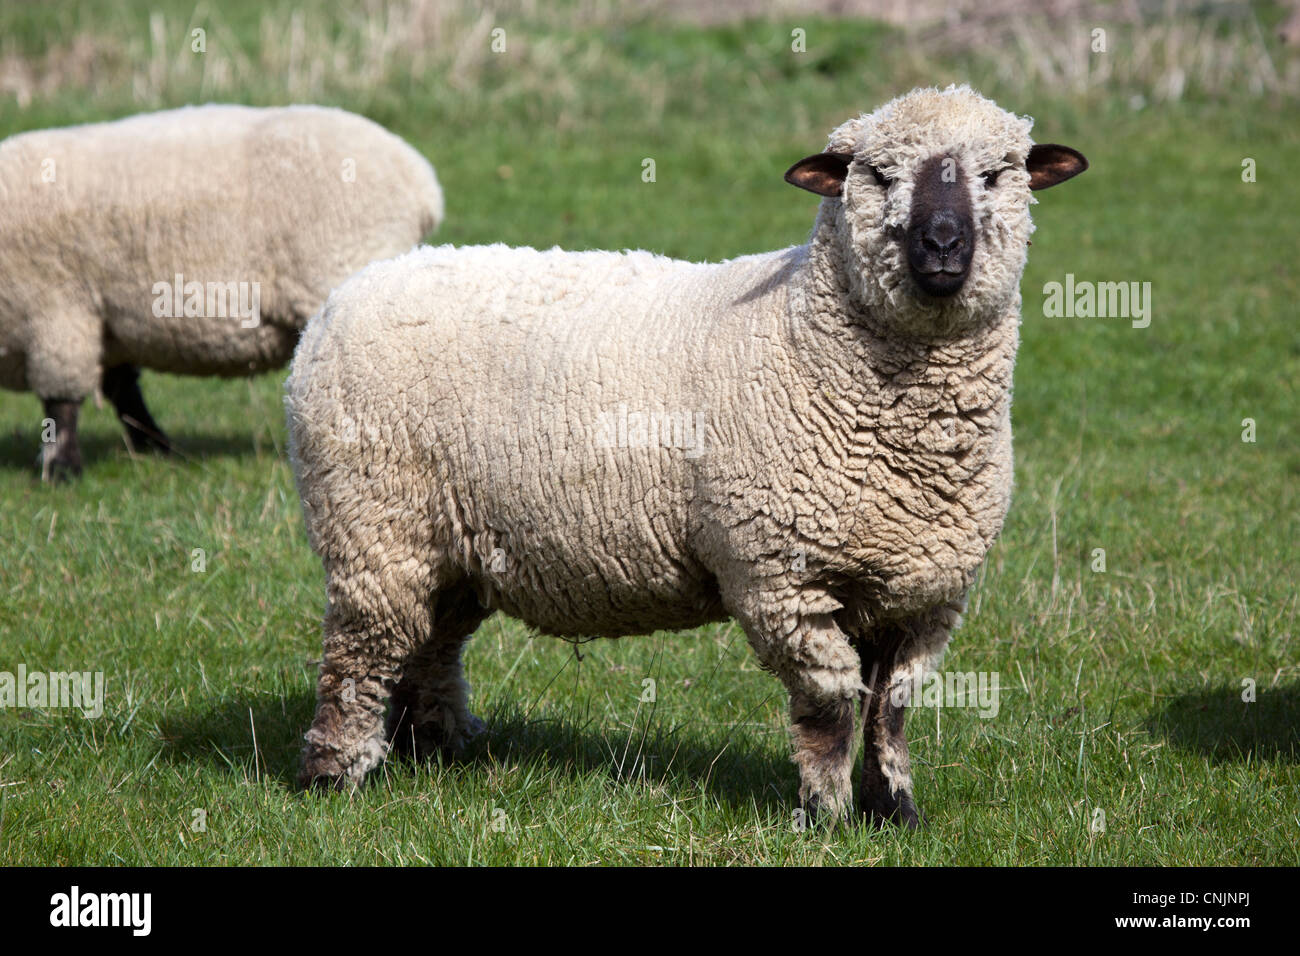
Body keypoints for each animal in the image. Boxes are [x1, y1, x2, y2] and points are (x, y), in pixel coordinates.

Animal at [0, 103, 443, 480]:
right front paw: (154, 446)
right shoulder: (107, 320)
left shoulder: (56, 307)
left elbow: (61, 402)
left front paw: (62, 469)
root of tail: (420, 181)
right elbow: (122, 389)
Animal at [286, 85, 1087, 826]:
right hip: (373, 525)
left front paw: (895, 813)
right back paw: (333, 776)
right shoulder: (779, 574)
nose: (943, 245)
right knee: (360, 654)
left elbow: (890, 710)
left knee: (429, 642)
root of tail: (344, 297)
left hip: (447, 543)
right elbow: (830, 705)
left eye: (998, 173)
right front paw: (823, 817)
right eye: (880, 175)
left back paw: (438, 746)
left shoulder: (926, 589)